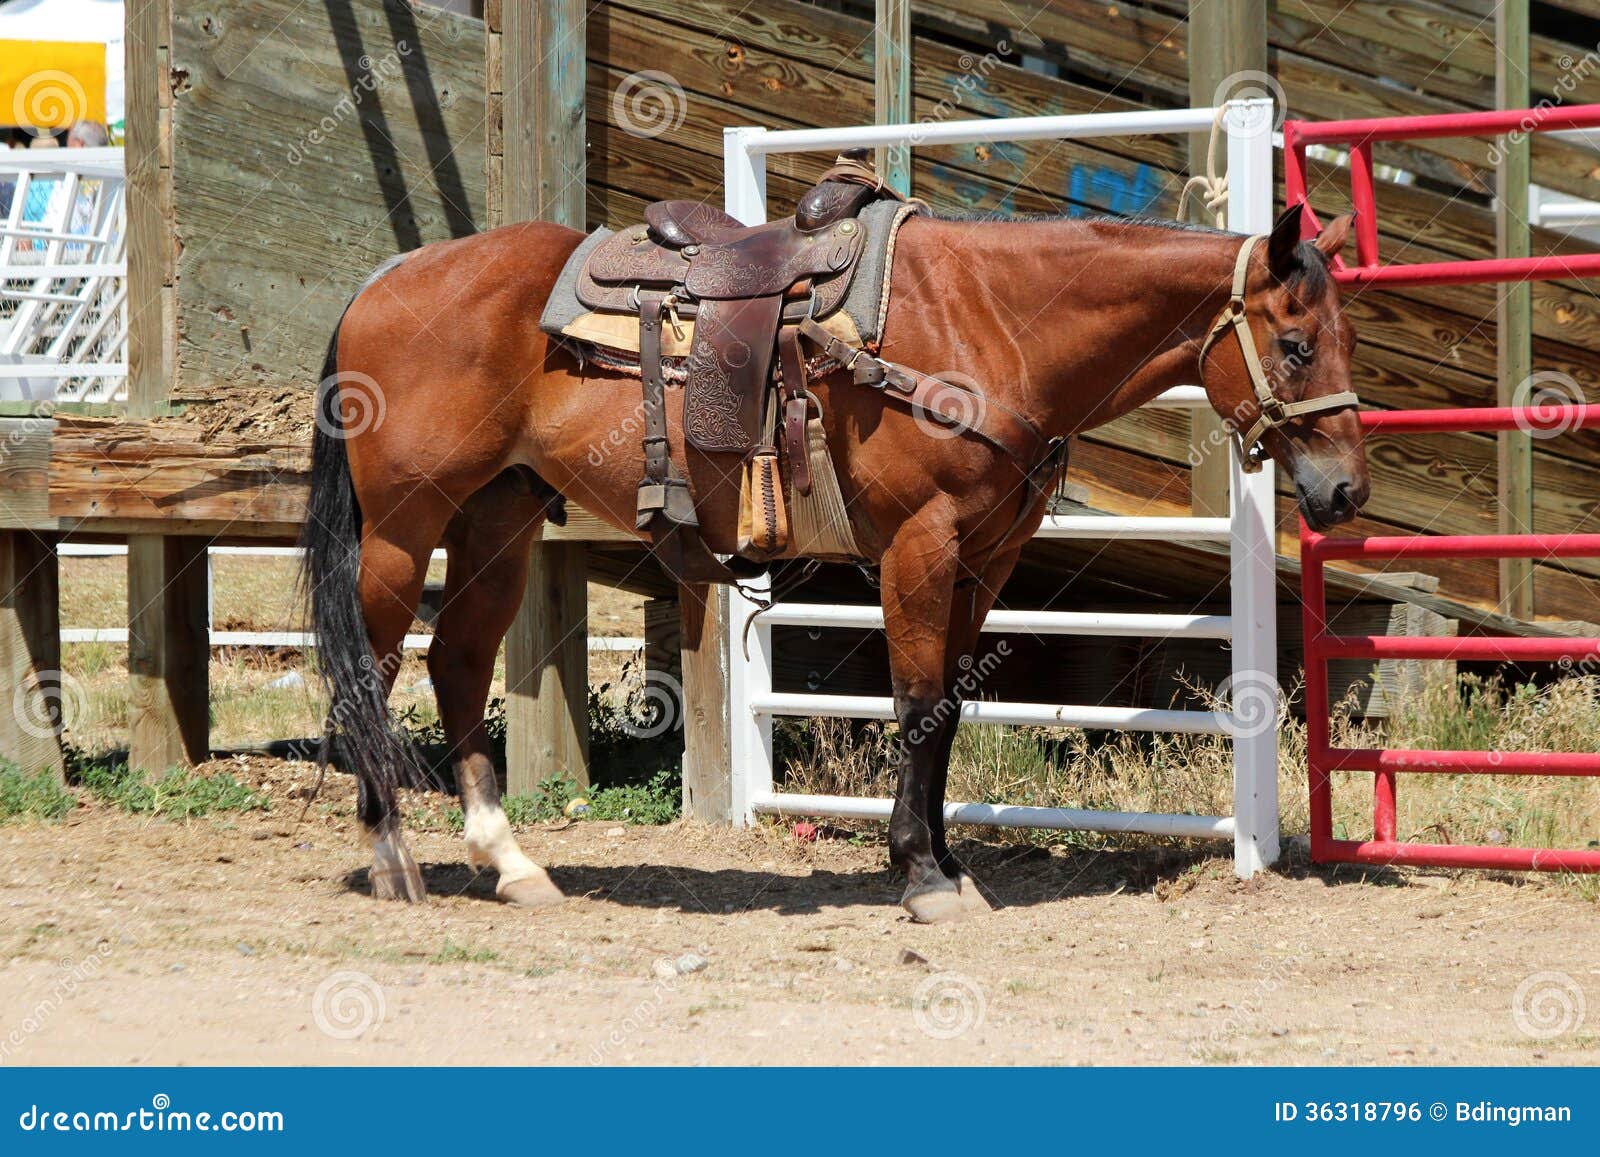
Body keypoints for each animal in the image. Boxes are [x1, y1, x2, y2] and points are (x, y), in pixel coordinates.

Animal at [300, 199, 1368, 923]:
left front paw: (945, 863)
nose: (1346, 491)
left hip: (500, 520)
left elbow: (949, 708)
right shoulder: (919, 547)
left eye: (1346, 339)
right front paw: (924, 874)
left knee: (455, 661)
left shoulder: (985, 561)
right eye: (1297, 343)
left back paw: (510, 862)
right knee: (372, 666)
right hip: (403, 526)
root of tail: (387, 276)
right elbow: (919, 703)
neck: (987, 322)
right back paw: (391, 853)